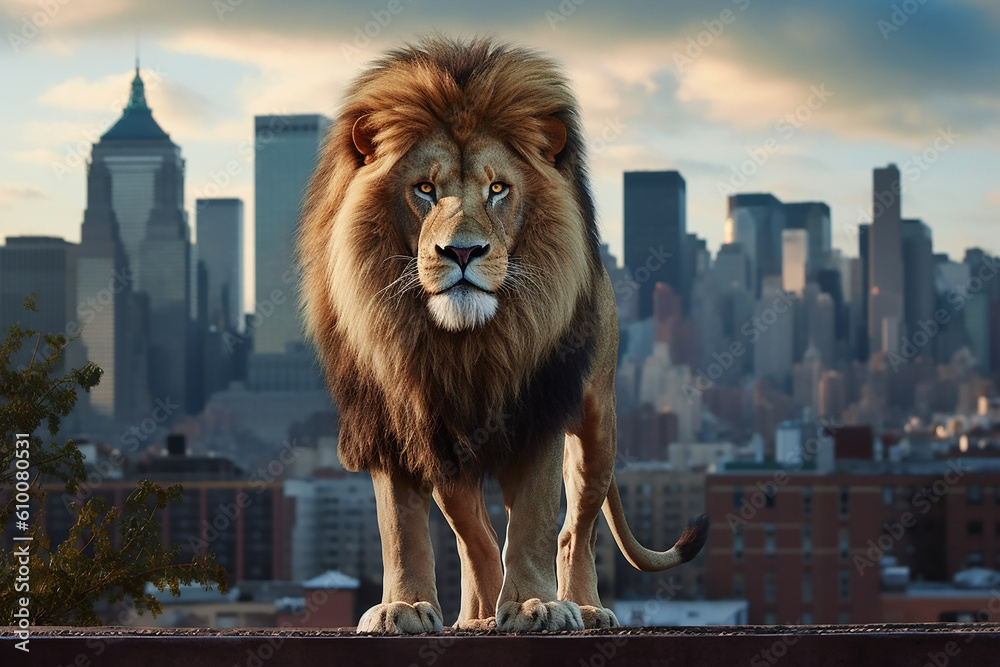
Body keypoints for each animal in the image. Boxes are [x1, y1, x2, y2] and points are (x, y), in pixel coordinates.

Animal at [297, 36, 709, 634]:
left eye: (498, 189)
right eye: (425, 189)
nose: (462, 251)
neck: (463, 342)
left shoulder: (539, 409)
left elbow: (535, 522)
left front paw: (536, 604)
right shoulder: (396, 419)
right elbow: (402, 528)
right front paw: (404, 607)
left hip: (598, 426)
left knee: (576, 529)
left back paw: (582, 606)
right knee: (476, 535)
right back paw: (477, 617)